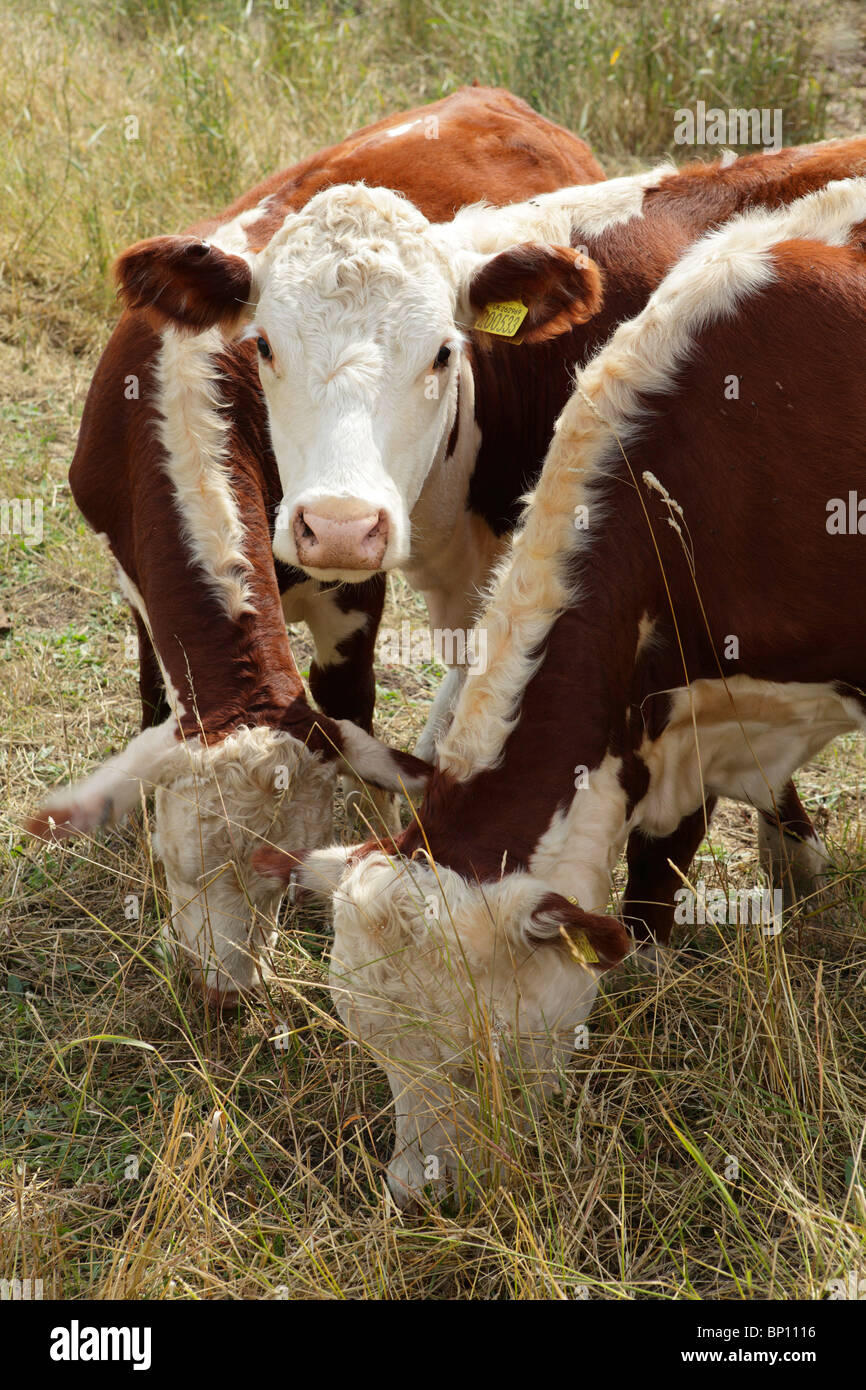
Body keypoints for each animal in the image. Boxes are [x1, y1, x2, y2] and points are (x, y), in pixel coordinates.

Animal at [27, 87, 604, 1006]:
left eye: (279, 863)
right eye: (177, 861)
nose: (224, 991)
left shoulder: (350, 587)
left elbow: (354, 708)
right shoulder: (131, 584)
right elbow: (153, 701)